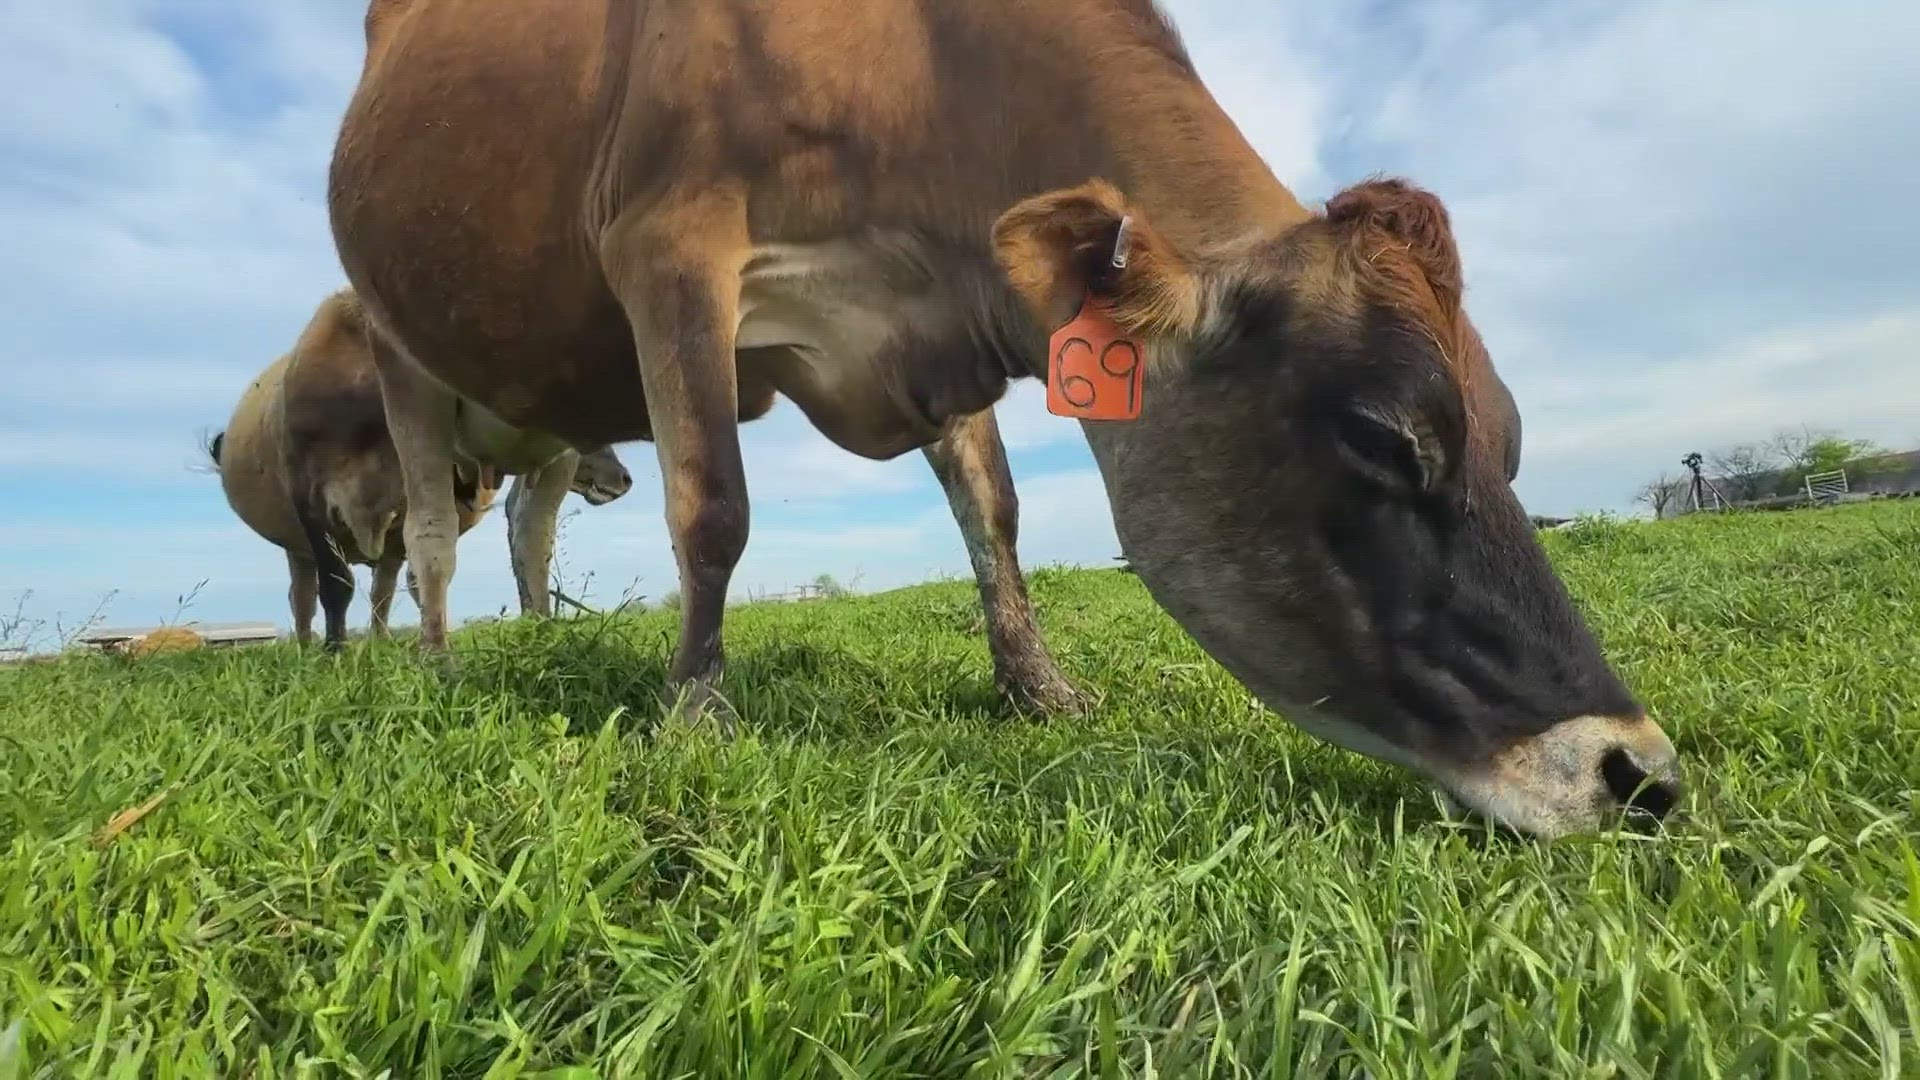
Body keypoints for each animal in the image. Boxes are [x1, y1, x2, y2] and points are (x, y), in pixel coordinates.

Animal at [210, 287, 635, 648]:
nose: (623, 479)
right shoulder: (310, 501)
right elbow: (336, 586)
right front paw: (335, 652)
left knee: (382, 592)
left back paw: (381, 643)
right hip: (296, 548)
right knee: (302, 597)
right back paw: (305, 648)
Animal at [325, 0, 1683, 837]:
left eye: (1512, 440)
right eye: (1381, 438)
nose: (1643, 774)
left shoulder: (952, 320)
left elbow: (996, 511)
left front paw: (1041, 688)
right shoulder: (670, 248)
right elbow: (712, 509)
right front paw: (697, 714)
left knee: (528, 527)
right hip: (396, 339)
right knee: (435, 538)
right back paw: (438, 664)